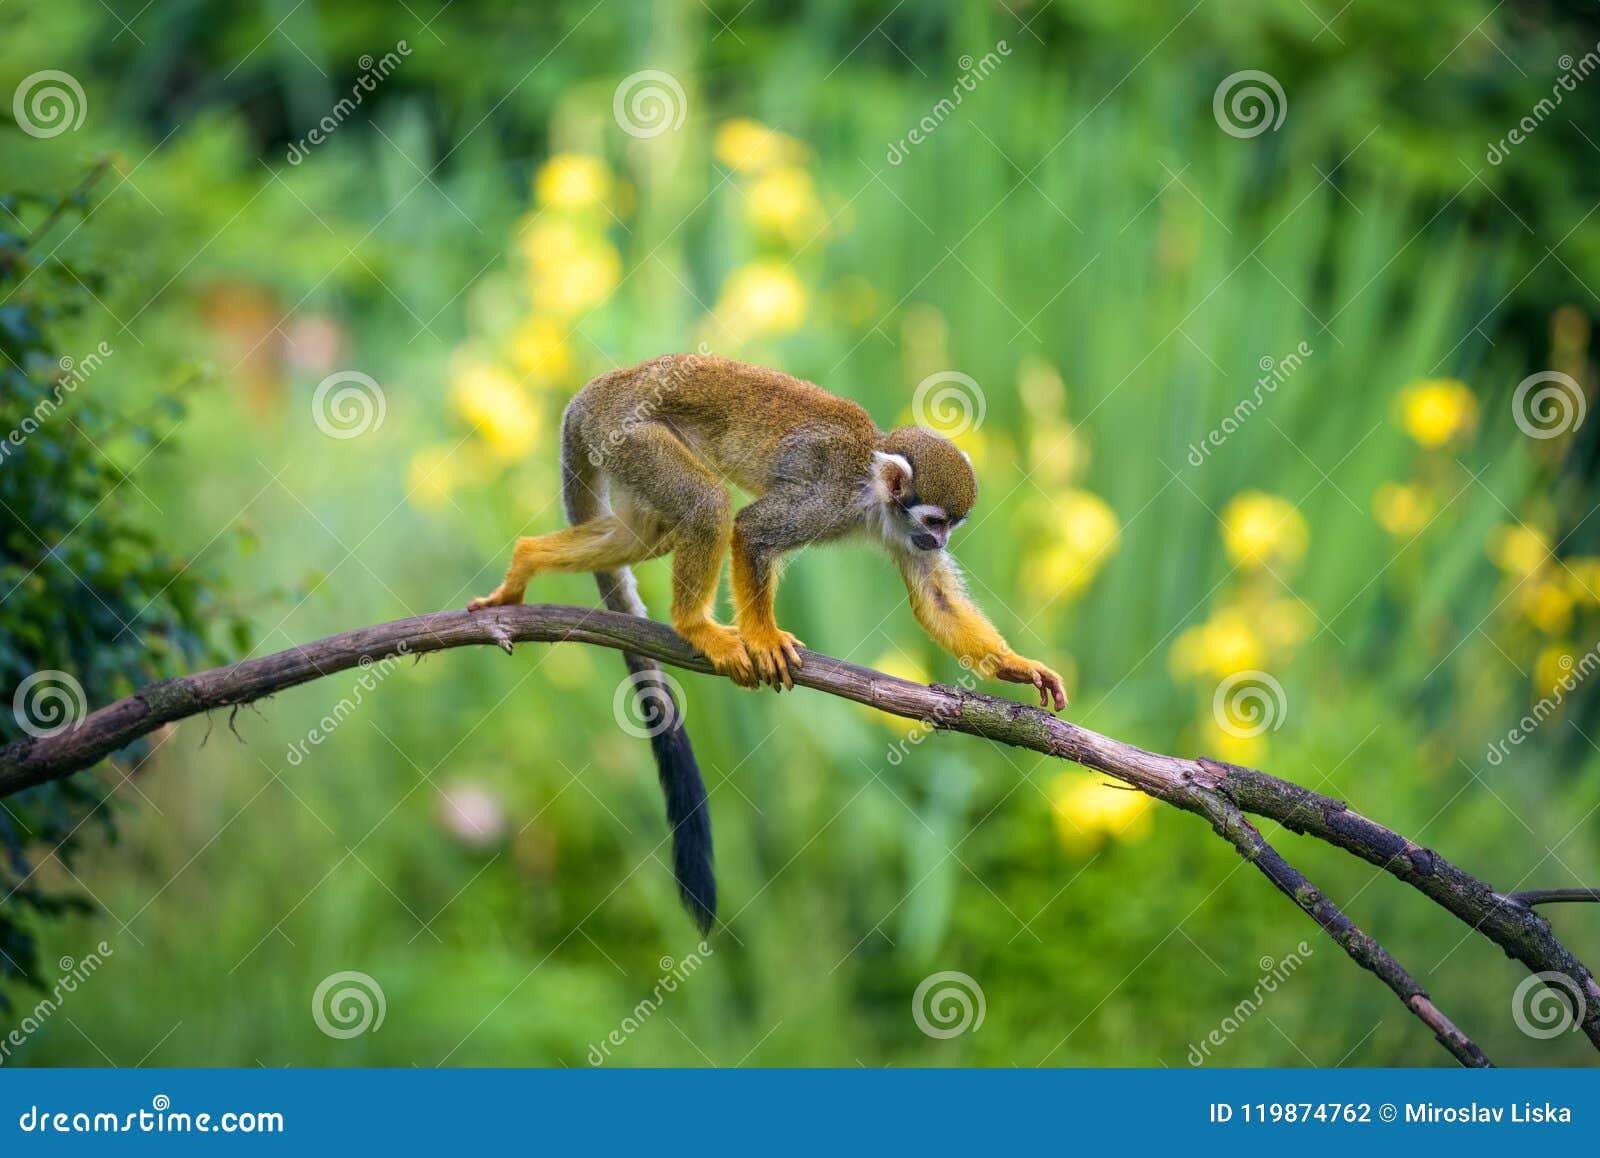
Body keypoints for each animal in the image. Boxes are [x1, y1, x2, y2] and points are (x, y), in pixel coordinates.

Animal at [467, 353, 1067, 934]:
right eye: (937, 519)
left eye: (949, 527)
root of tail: (597, 389)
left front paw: (1017, 667)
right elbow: (752, 529)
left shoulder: (899, 534)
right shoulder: (829, 501)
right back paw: (693, 625)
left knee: (647, 534)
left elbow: (936, 604)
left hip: (621, 450)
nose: (939, 541)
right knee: (705, 503)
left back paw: (527, 560)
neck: (872, 491)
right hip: (630, 434)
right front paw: (762, 636)